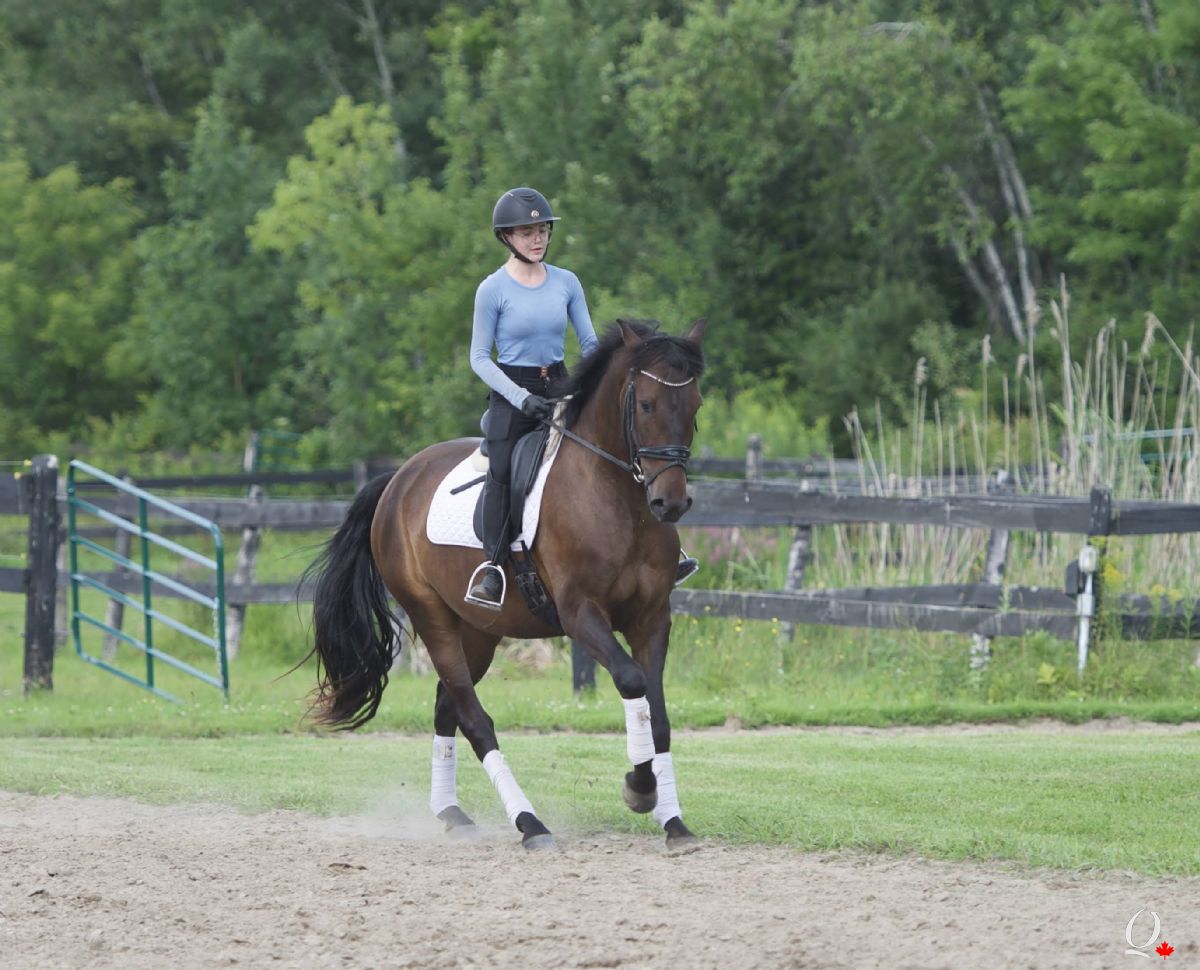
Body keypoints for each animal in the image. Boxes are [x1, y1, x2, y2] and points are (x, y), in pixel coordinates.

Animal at [303, 317, 706, 850]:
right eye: (646, 405)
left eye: (695, 405)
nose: (670, 502)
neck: (619, 501)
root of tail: (397, 479)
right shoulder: (580, 614)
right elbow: (631, 680)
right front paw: (639, 790)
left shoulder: (652, 618)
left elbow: (657, 714)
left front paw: (673, 821)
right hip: (432, 617)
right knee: (474, 719)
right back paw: (529, 823)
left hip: (478, 630)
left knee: (446, 706)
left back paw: (452, 813)